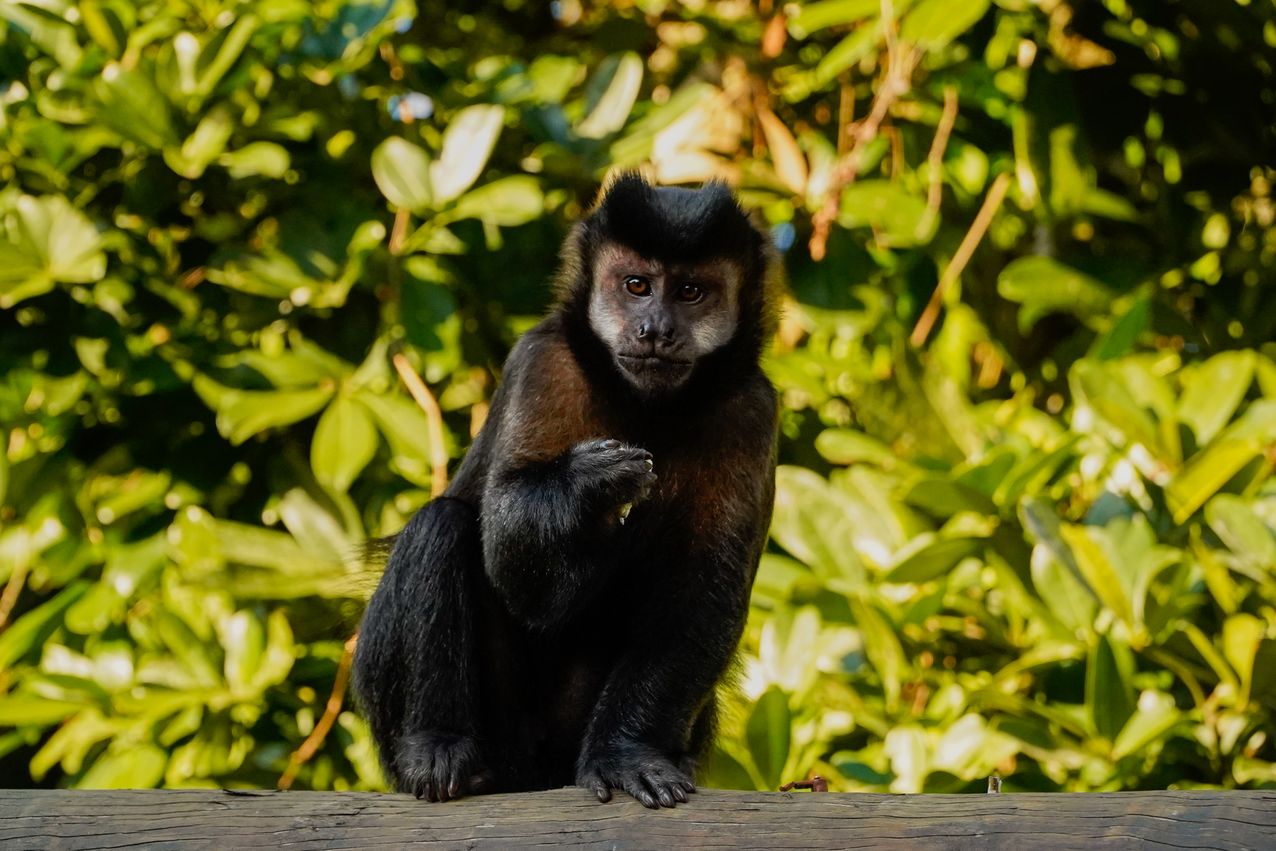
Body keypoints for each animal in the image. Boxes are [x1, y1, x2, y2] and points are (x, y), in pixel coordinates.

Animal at [352, 174, 780, 808]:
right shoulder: (545, 362)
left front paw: (626, 755)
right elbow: (510, 554)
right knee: (440, 525)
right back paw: (437, 747)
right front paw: (590, 484)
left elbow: (702, 582)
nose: (656, 330)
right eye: (637, 285)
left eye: (691, 292)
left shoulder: (751, 410)